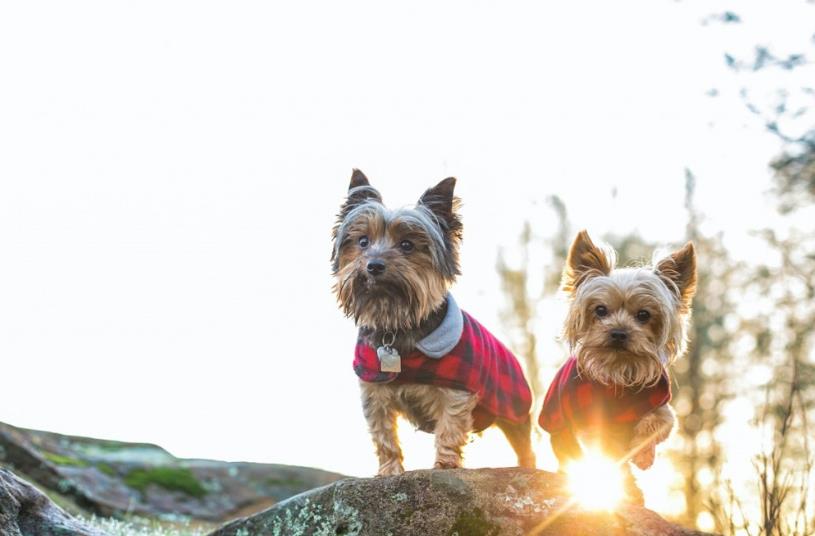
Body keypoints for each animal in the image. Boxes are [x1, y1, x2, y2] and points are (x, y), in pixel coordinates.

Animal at [332, 170, 536, 476]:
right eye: (363, 241)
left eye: (407, 245)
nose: (374, 265)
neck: (398, 326)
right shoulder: (373, 391)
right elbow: (383, 434)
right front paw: (389, 470)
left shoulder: (456, 391)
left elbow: (450, 426)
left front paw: (445, 464)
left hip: (514, 408)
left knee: (523, 442)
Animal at [540, 232, 700, 500]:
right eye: (600, 310)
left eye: (644, 315)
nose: (618, 332)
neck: (620, 371)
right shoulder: (591, 424)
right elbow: (610, 453)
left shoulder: (661, 405)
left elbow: (659, 423)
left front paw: (643, 455)